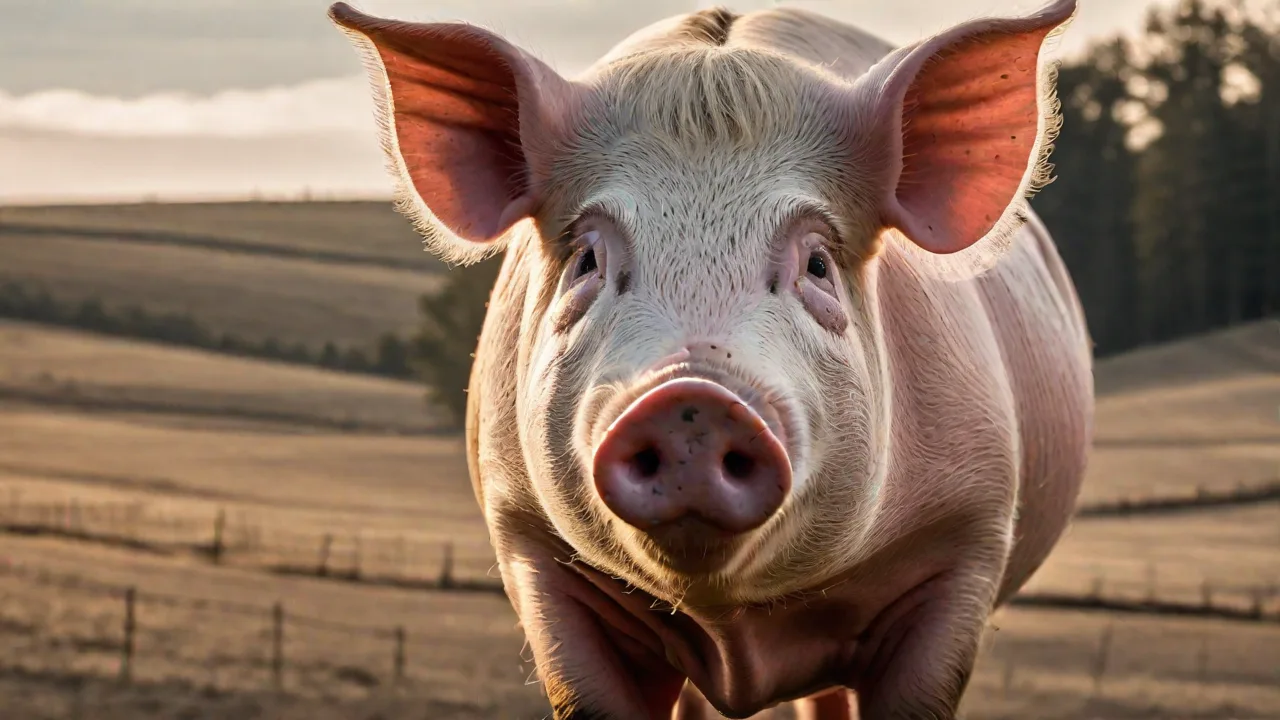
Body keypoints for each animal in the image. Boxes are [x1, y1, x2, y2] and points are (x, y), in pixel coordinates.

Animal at [330, 1, 1093, 717]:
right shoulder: (531, 547)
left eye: (818, 264)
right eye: (587, 260)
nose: (690, 399)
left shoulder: (967, 540)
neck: (735, 623)